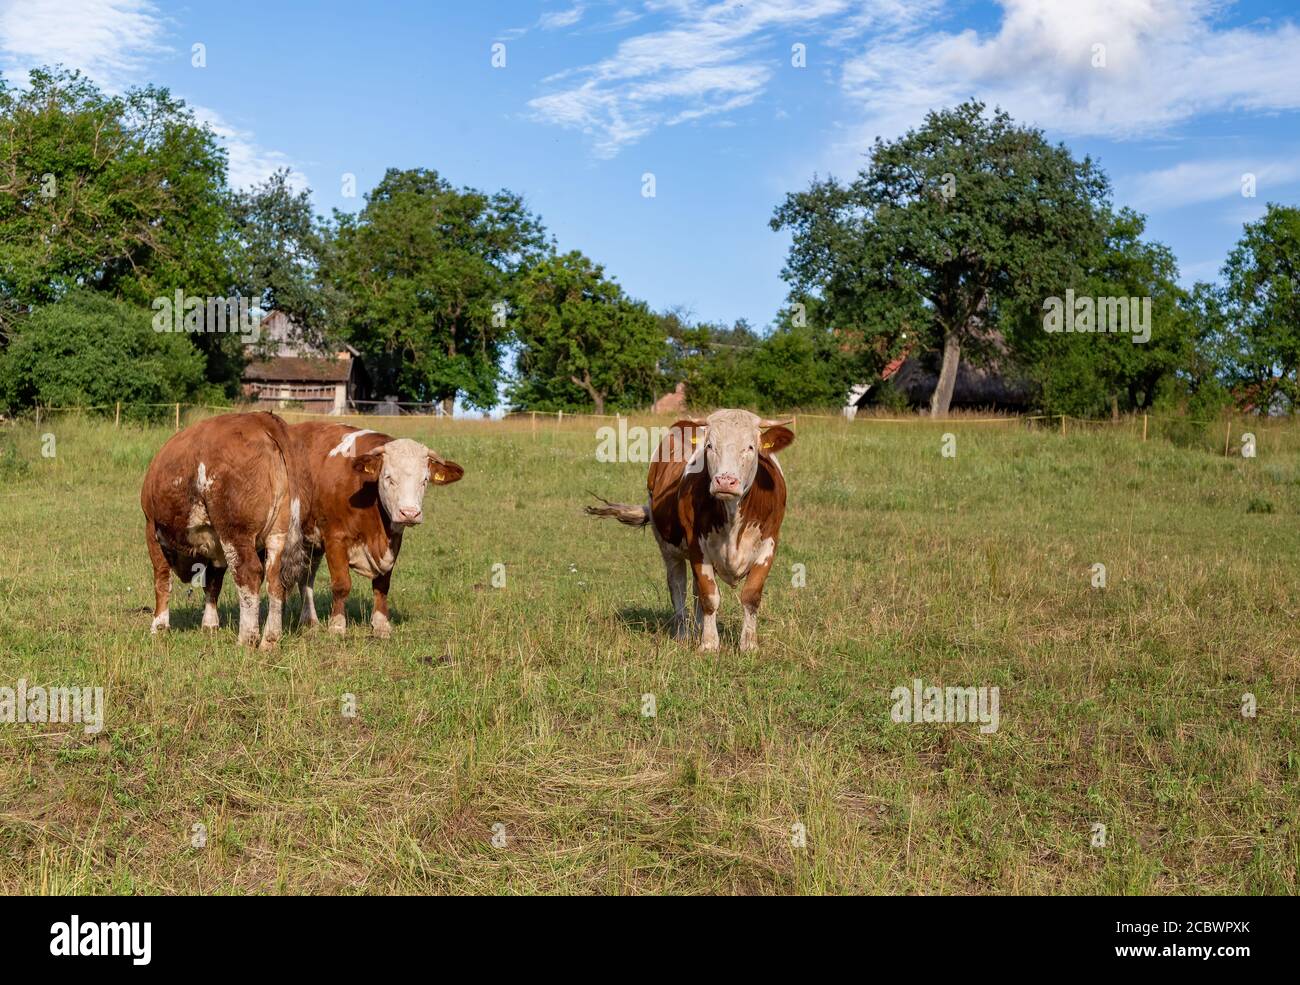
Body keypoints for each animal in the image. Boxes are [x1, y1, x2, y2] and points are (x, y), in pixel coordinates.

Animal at [141, 412, 312, 649]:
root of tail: (261, 419)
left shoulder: (152, 528)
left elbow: (162, 580)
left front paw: (158, 626)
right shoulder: (216, 547)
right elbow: (213, 583)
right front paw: (210, 624)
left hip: (235, 531)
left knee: (248, 574)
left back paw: (247, 639)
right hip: (278, 534)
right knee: (276, 580)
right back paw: (270, 640)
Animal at [288, 423, 464, 637]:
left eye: (424, 480)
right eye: (388, 478)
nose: (409, 513)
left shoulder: (393, 542)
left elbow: (382, 585)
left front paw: (381, 624)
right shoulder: (335, 539)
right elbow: (341, 585)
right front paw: (337, 625)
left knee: (306, 577)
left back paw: (309, 621)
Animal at [587, 409, 794, 652]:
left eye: (750, 447)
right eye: (710, 446)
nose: (725, 481)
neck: (733, 516)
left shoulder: (768, 545)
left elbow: (750, 596)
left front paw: (748, 645)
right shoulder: (697, 546)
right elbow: (709, 596)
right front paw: (709, 644)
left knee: (694, 591)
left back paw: (697, 629)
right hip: (668, 548)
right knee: (678, 586)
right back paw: (683, 634)